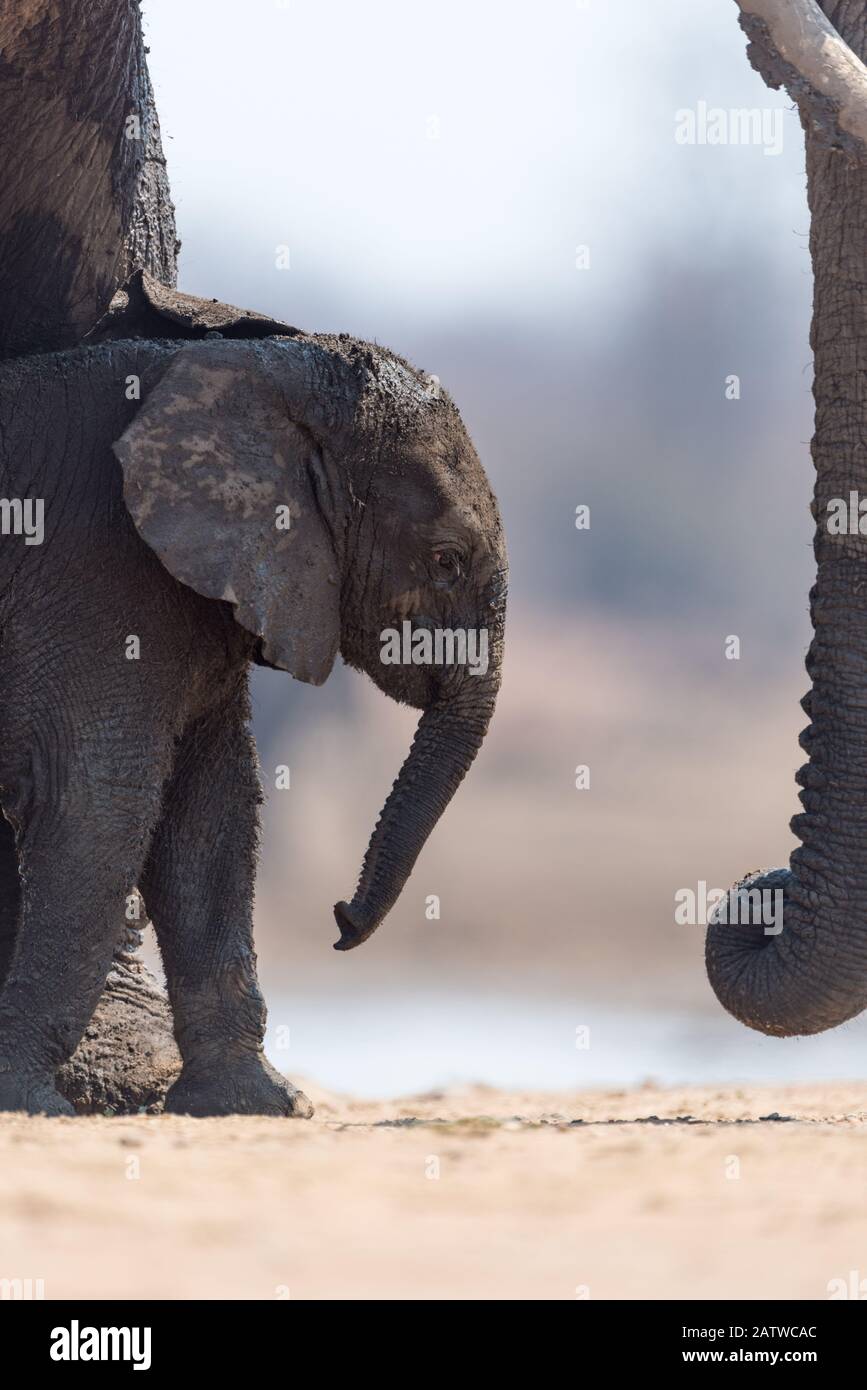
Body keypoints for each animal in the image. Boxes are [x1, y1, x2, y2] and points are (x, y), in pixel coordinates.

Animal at [0, 275, 507, 1117]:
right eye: (446, 561)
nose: (340, 921)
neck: (272, 375)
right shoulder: (100, 571)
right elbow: (103, 804)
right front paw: (28, 1102)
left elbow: (212, 806)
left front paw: (259, 1102)